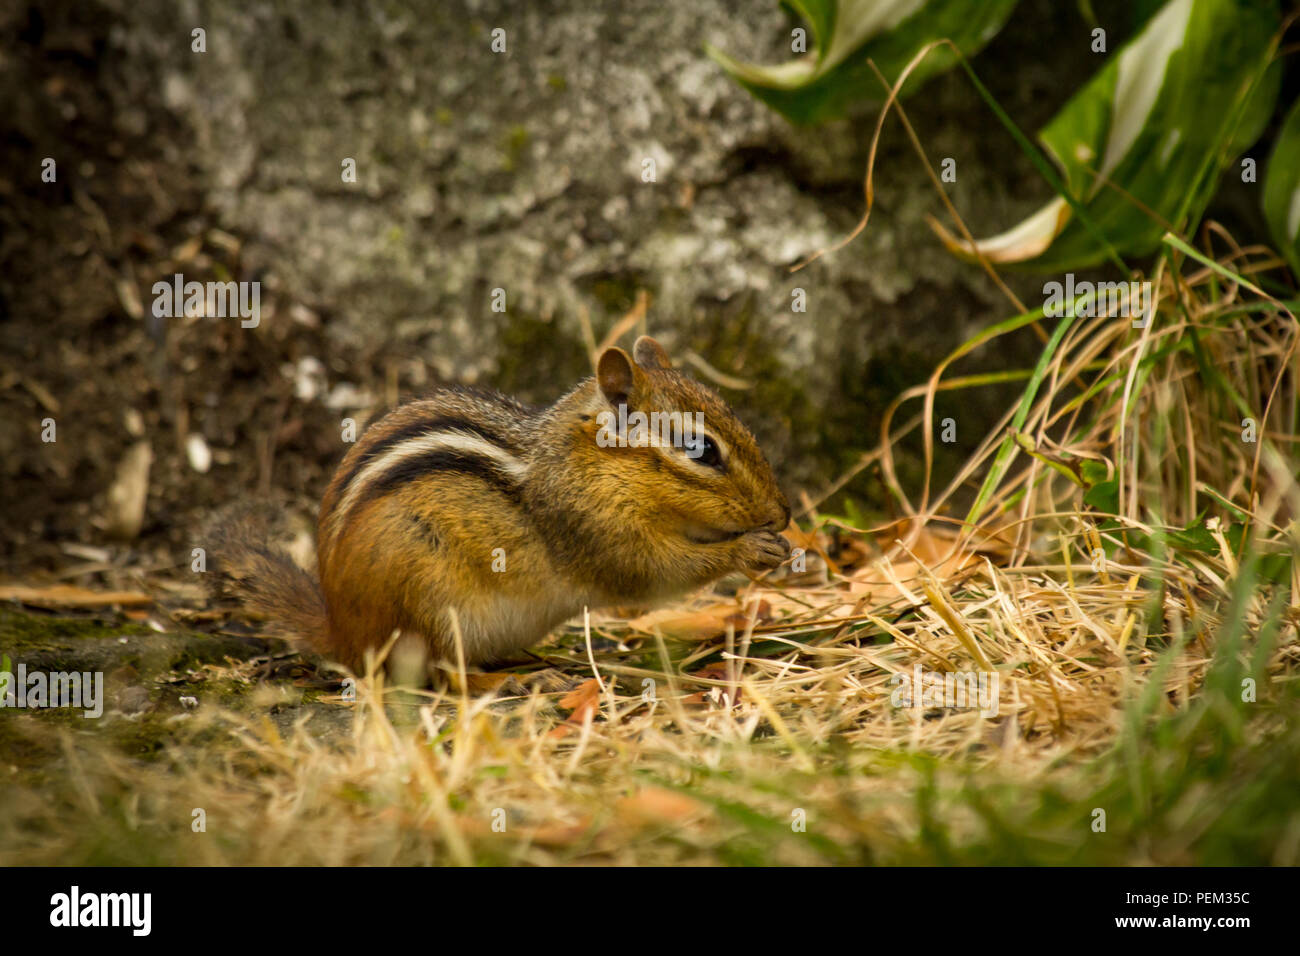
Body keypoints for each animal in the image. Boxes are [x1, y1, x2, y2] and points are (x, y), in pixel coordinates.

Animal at [208, 335, 791, 671]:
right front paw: (751, 550)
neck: (584, 462)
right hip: (427, 601)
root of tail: (343, 632)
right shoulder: (600, 535)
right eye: (701, 450)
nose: (783, 514)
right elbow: (656, 573)